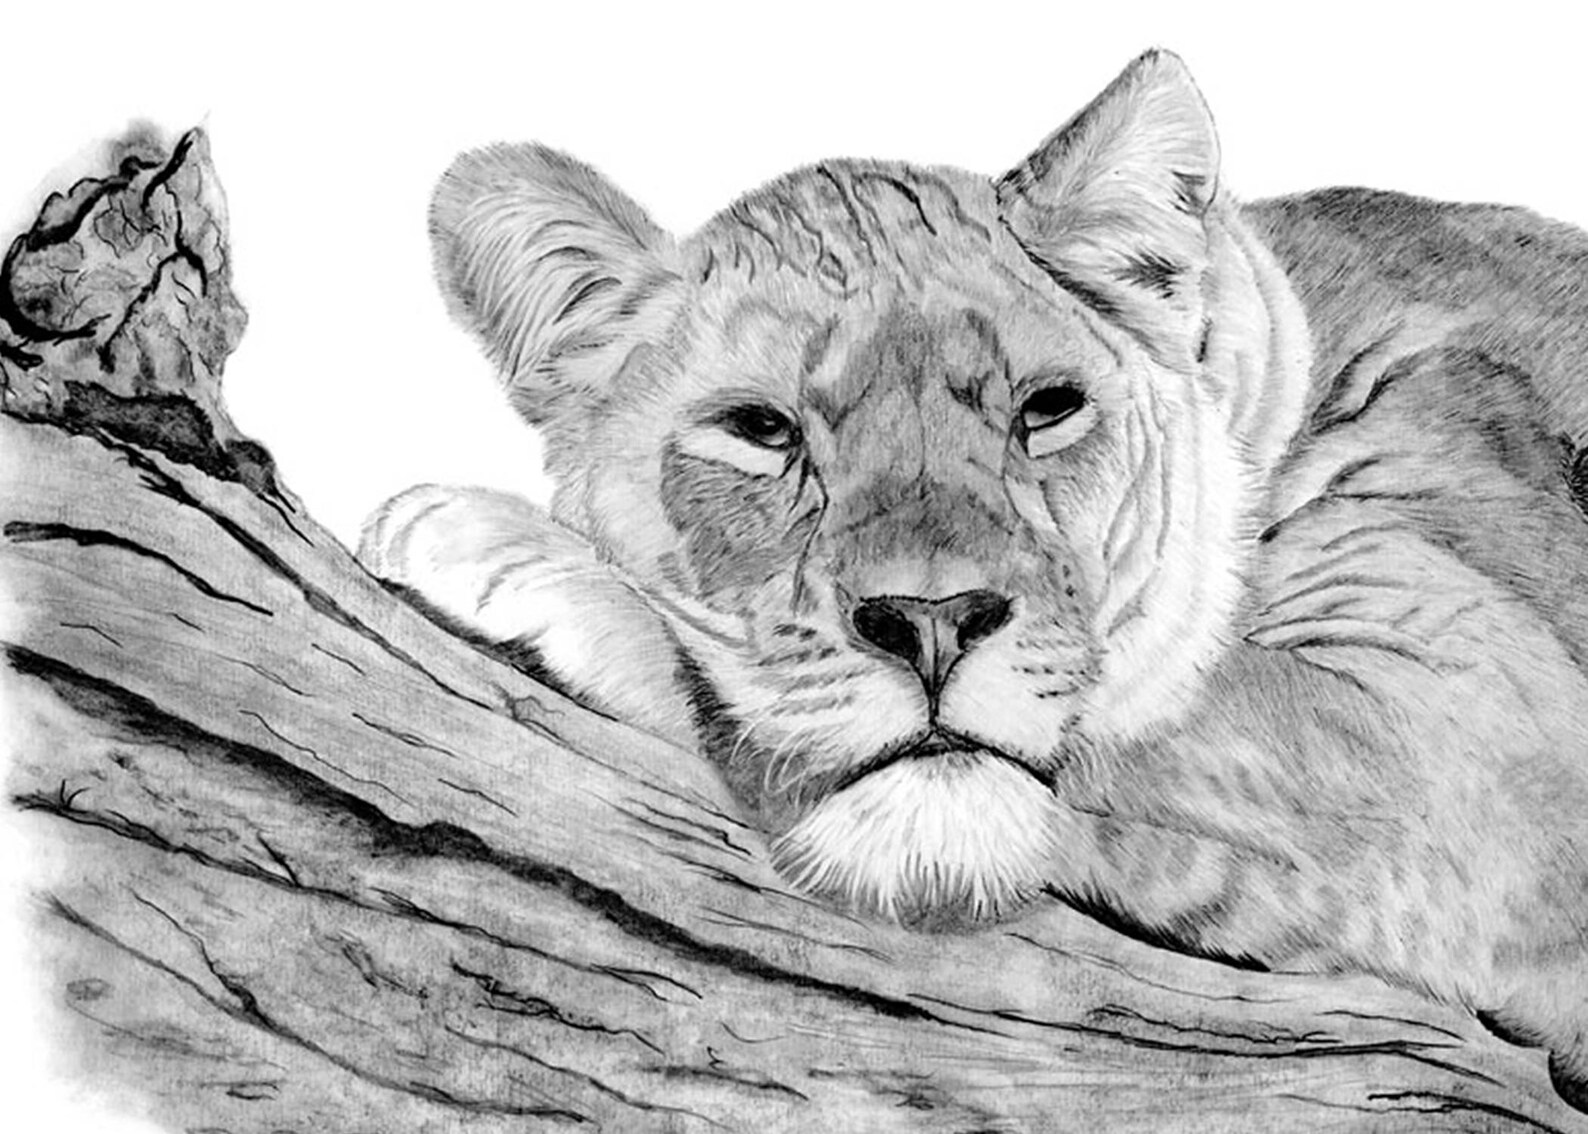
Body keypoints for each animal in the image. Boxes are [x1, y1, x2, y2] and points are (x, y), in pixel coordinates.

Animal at [360, 50, 1588, 1108]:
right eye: (762, 431)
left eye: (1046, 409)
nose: (933, 621)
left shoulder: (1480, 732)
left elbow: (1153, 707)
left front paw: (507, 551)